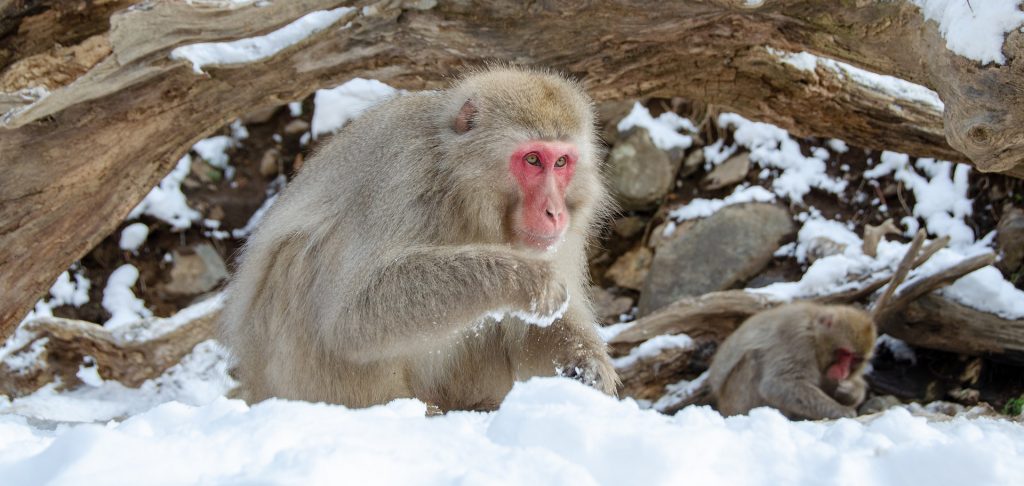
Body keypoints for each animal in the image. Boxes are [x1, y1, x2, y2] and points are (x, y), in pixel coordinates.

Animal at [218, 66, 619, 411]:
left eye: (562, 162)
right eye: (533, 159)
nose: (555, 212)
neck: (462, 192)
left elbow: (532, 333)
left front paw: (587, 365)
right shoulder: (405, 174)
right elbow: (351, 317)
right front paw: (526, 278)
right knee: (302, 258)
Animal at [706, 302, 876, 420]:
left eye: (855, 359)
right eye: (844, 353)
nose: (844, 370)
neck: (814, 333)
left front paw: (849, 391)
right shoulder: (797, 340)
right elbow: (778, 384)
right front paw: (843, 411)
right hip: (735, 402)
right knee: (754, 357)